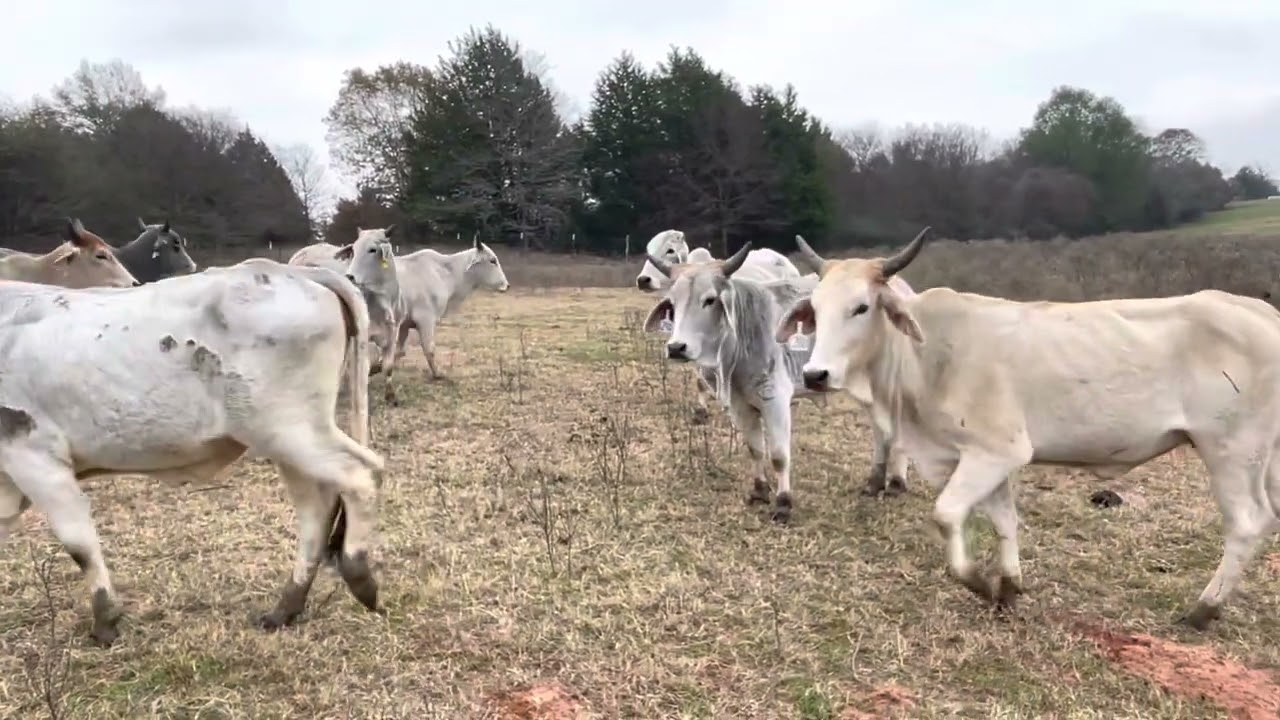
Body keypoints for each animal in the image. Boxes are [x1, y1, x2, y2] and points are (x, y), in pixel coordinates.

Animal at [0, 259, 385, 646]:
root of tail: (295, 271)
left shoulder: (35, 457)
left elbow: (79, 543)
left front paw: (105, 622)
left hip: (292, 429)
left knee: (361, 474)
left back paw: (359, 577)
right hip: (287, 440)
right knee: (315, 509)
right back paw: (286, 608)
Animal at [392, 237, 509, 380]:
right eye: (492, 260)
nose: (506, 285)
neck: (444, 273)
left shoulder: (404, 323)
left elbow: (399, 351)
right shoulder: (425, 319)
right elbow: (429, 349)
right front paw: (437, 374)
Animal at [642, 242, 817, 523]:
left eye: (710, 299)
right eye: (673, 303)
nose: (677, 348)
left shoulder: (775, 402)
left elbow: (779, 456)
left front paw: (783, 503)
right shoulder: (740, 404)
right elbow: (755, 448)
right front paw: (759, 491)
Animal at [776, 227, 1280, 629]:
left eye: (861, 307)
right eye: (814, 310)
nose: (816, 375)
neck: (925, 354)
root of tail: (1262, 312)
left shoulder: (995, 452)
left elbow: (946, 515)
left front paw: (979, 582)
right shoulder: (984, 458)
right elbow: (1004, 521)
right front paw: (1008, 586)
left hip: (1232, 452)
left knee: (1248, 523)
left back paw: (1204, 609)